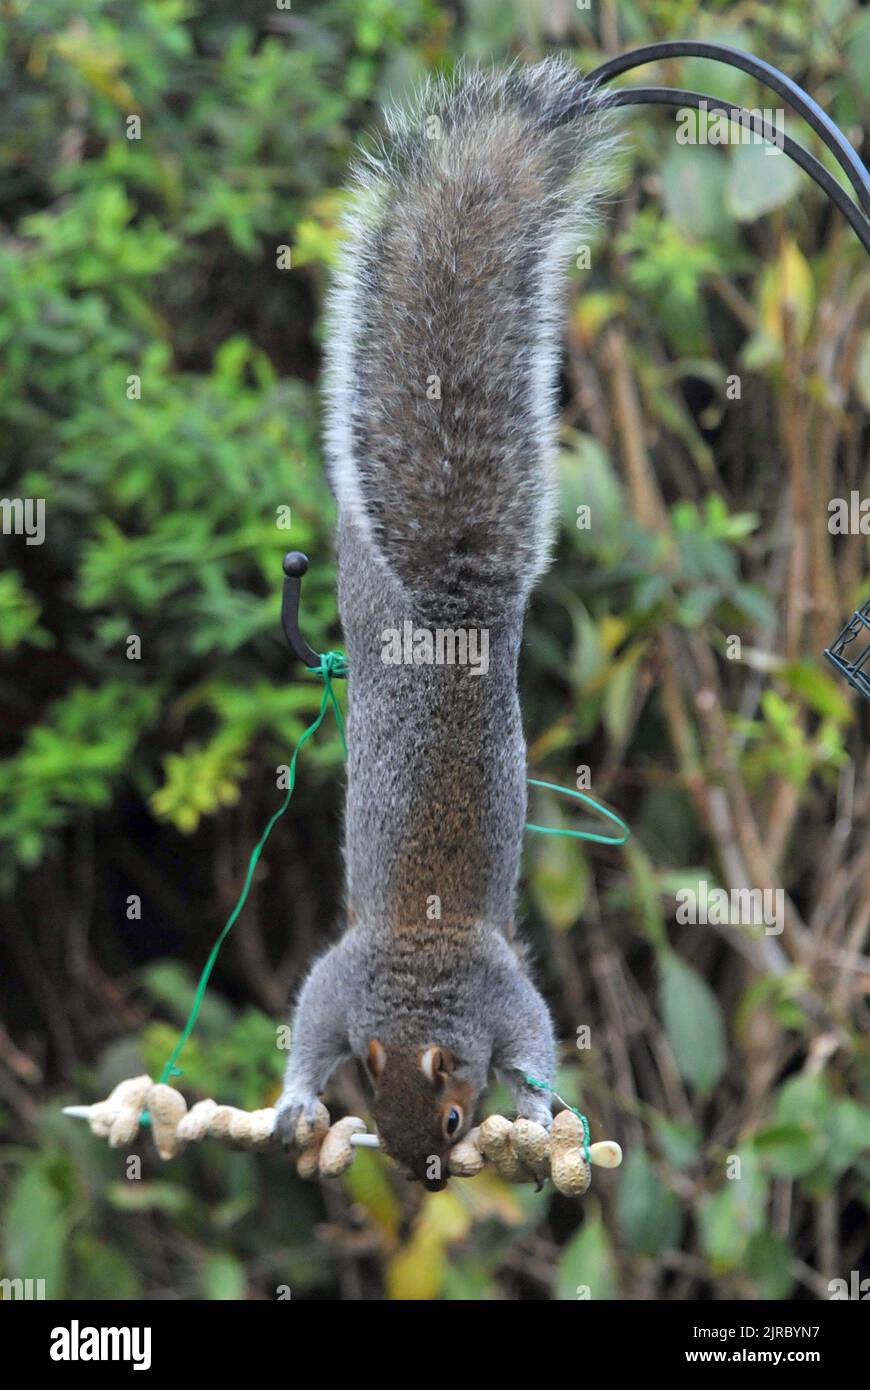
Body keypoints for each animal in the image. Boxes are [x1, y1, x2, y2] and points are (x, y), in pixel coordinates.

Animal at [275, 58, 615, 1190]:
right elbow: (307, 1026)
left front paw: (546, 1103)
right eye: (376, 1122)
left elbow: (540, 1038)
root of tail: (452, 611)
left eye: (457, 1118)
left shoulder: (498, 996)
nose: (423, 1180)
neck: (421, 981)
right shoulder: (344, 987)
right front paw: (296, 1100)